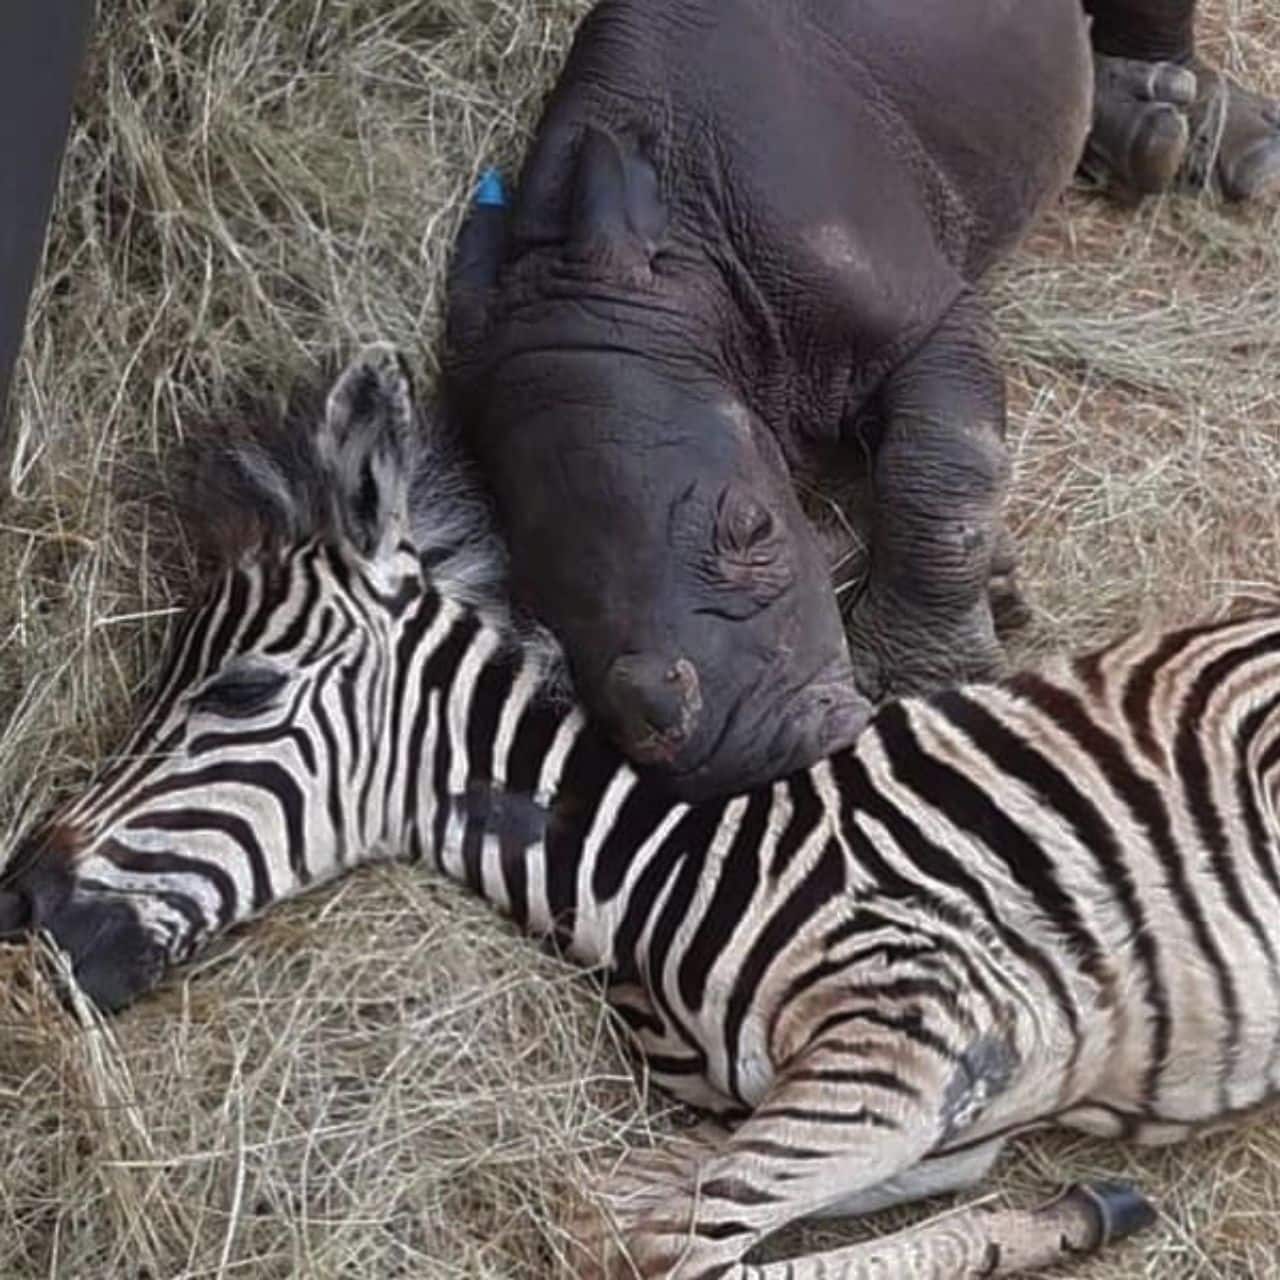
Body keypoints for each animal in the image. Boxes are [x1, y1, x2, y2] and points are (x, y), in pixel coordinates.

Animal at [5, 345, 1280, 1277]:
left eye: (239, 690)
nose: (20, 900)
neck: (660, 864)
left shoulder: (919, 1028)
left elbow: (663, 1242)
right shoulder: (929, 1102)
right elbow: (644, 1207)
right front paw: (1067, 1207)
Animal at [445, 0, 1093, 801]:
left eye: (753, 529)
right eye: (537, 610)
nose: (748, 757)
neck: (683, 275)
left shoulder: (925, 316)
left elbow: (940, 471)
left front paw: (925, 680)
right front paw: (996, 585)